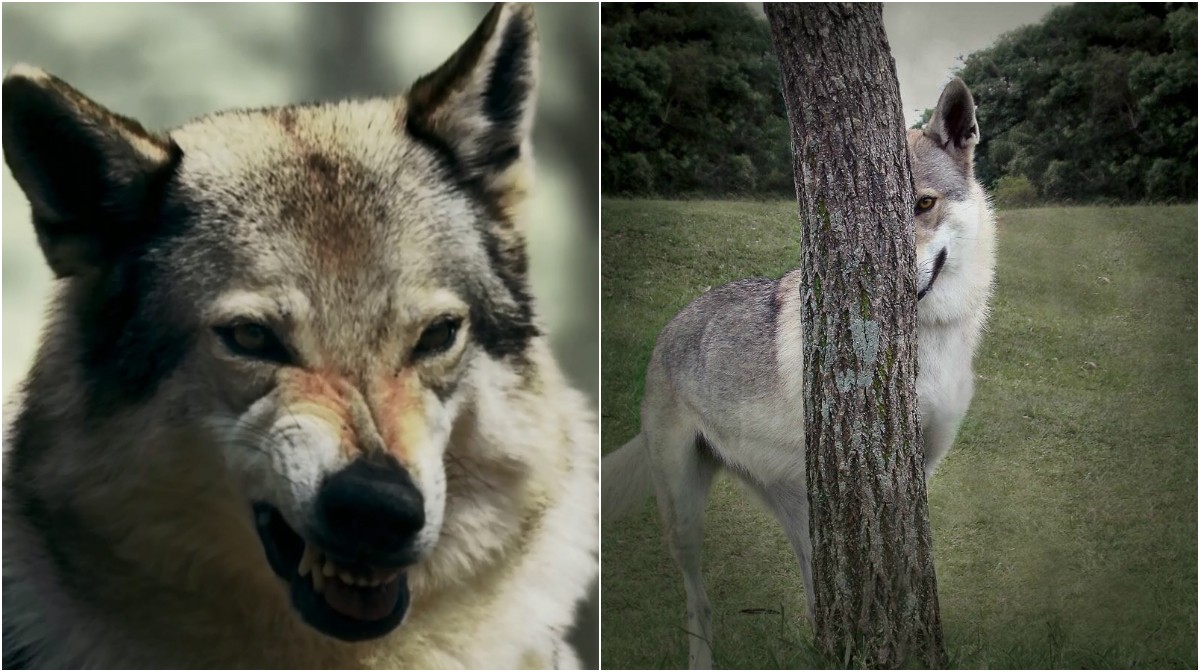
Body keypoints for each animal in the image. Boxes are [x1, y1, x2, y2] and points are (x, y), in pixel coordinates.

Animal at [601, 78, 996, 668]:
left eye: (924, 203)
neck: (931, 340)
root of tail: (672, 325)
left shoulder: (914, 472)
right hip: (684, 515)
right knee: (698, 603)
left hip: (797, 509)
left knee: (814, 592)